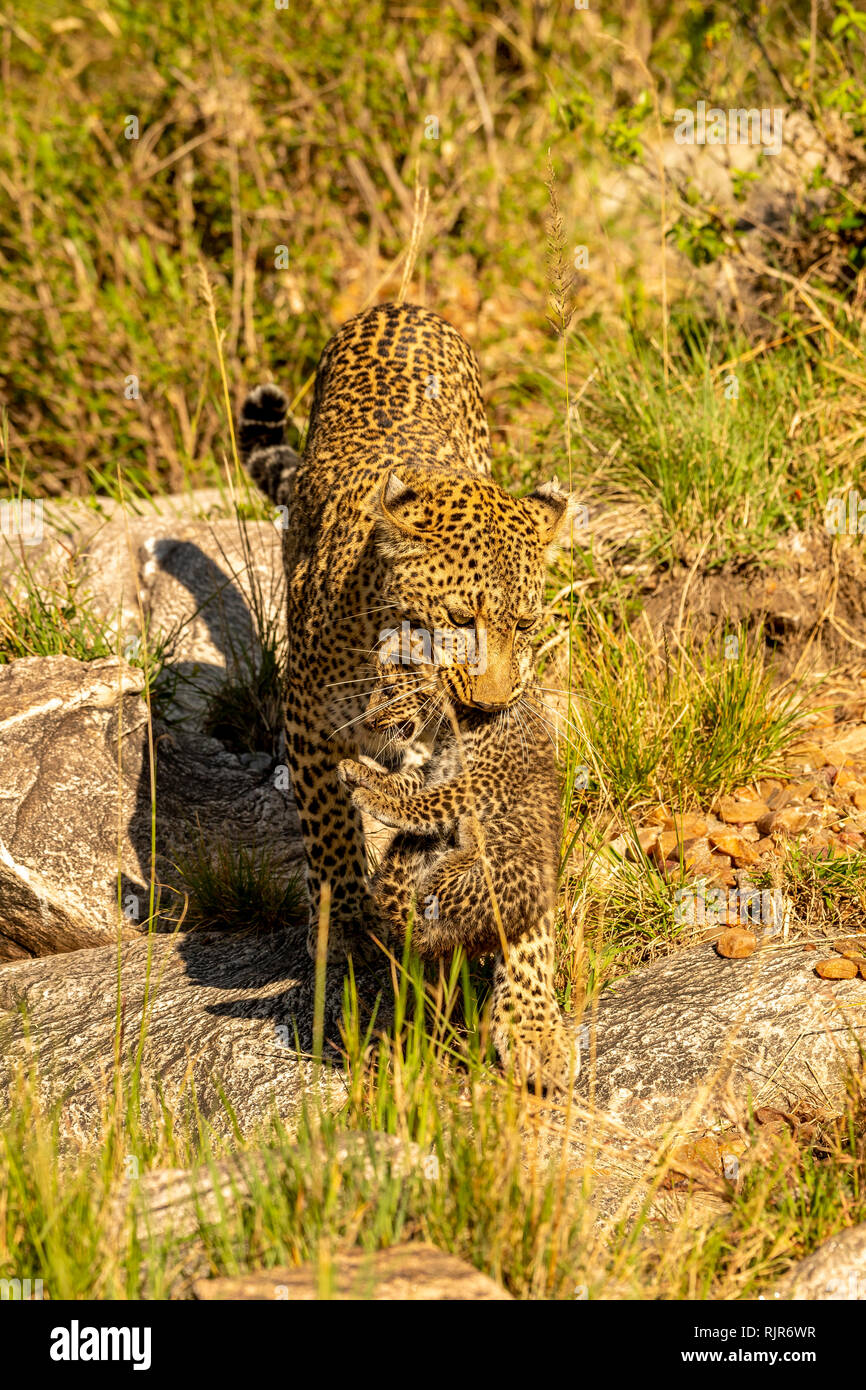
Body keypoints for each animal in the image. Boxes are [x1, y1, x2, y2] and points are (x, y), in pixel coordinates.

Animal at [337, 656, 578, 1090]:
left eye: (388, 687)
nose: (372, 719)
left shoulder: (473, 783)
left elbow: (421, 804)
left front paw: (371, 795)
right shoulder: (434, 771)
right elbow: (407, 783)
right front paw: (360, 772)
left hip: (491, 867)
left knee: (445, 878)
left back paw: (466, 842)